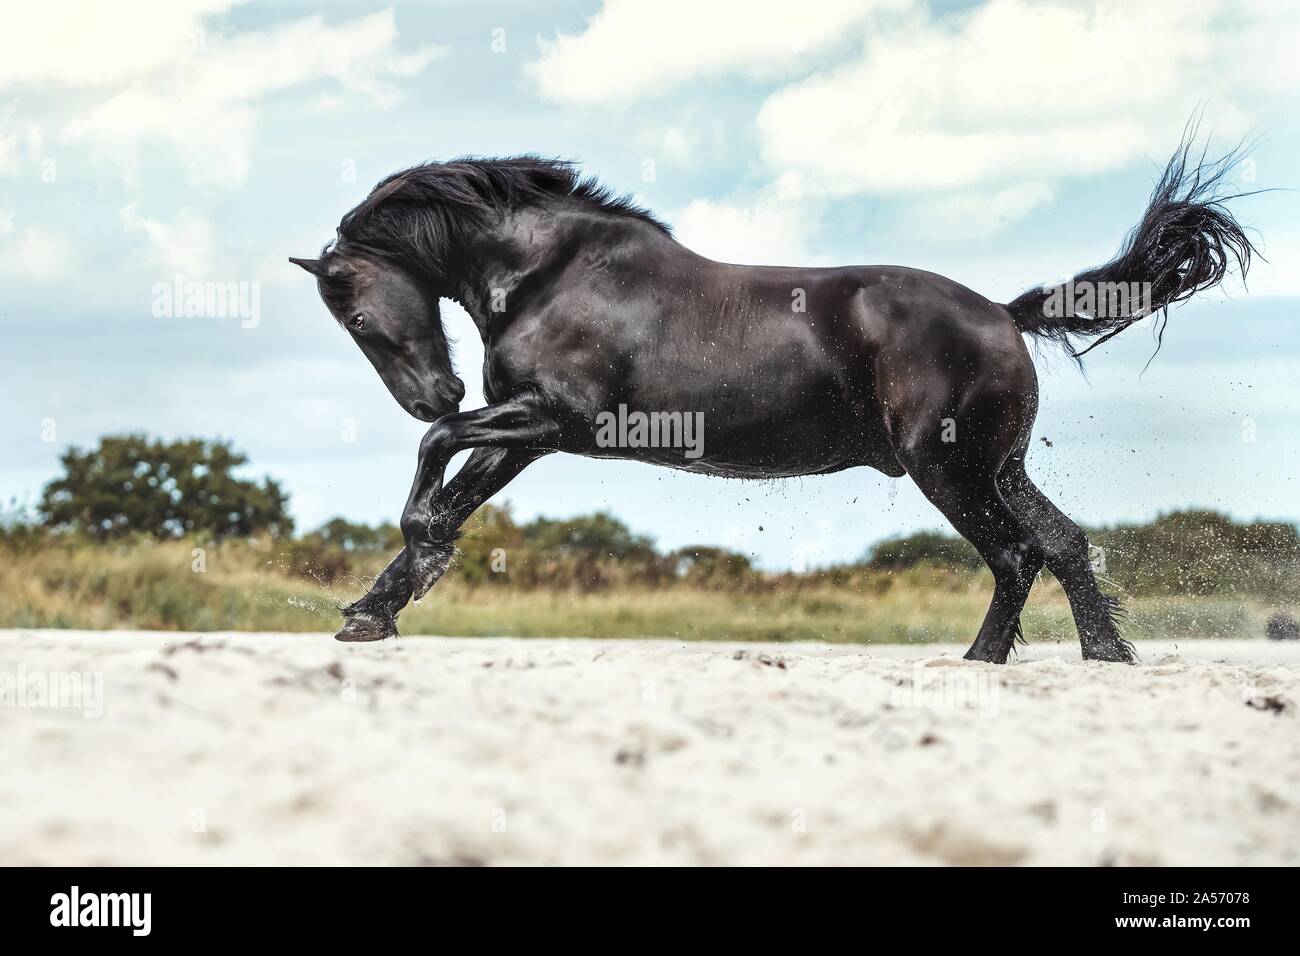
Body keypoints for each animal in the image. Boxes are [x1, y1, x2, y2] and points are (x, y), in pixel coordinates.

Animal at [290, 133, 1255, 663]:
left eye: (357, 315)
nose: (431, 392)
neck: (550, 273)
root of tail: (1004, 314)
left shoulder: (555, 417)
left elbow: (436, 464)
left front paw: (414, 566)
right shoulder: (524, 432)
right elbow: (454, 487)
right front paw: (376, 609)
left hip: (947, 469)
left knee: (1018, 555)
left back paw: (990, 659)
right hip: (996, 467)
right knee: (1062, 544)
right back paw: (1100, 655)